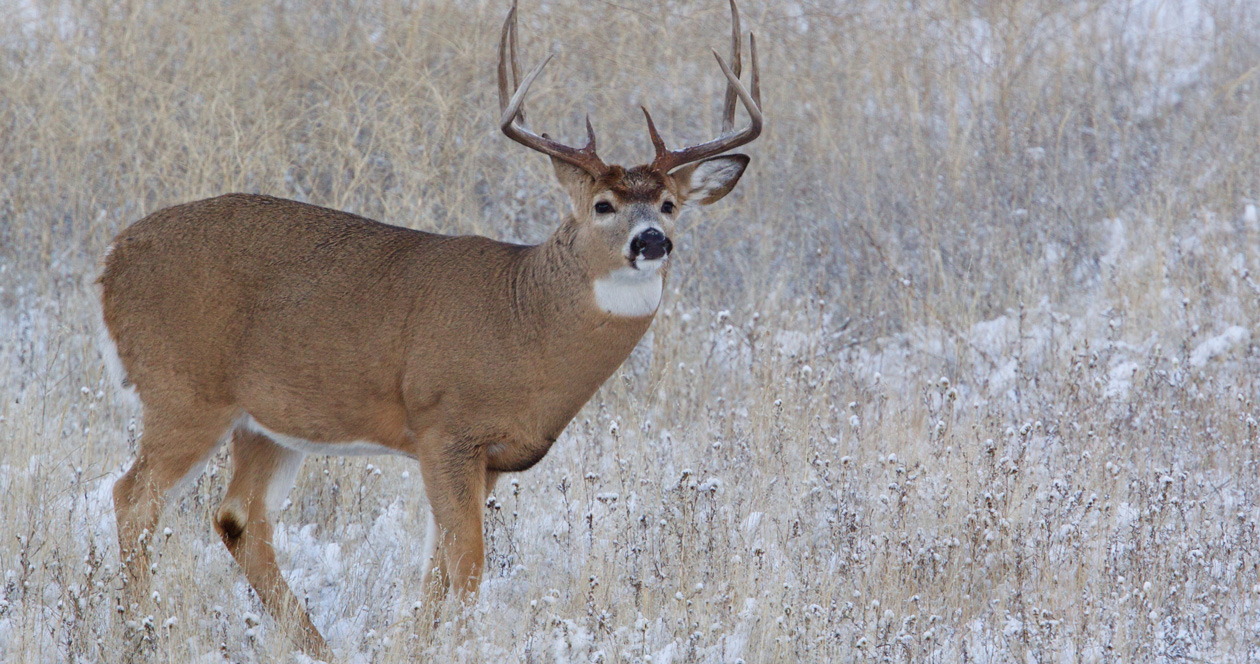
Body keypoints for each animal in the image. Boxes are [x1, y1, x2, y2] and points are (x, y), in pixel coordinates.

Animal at [98, 0, 761, 658]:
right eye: (603, 206)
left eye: (670, 205)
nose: (651, 241)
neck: (527, 324)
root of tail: (111, 259)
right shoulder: (444, 426)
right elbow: (466, 562)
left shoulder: (488, 459)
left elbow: (437, 569)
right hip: (183, 391)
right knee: (134, 497)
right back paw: (140, 633)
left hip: (267, 422)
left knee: (239, 519)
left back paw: (318, 646)